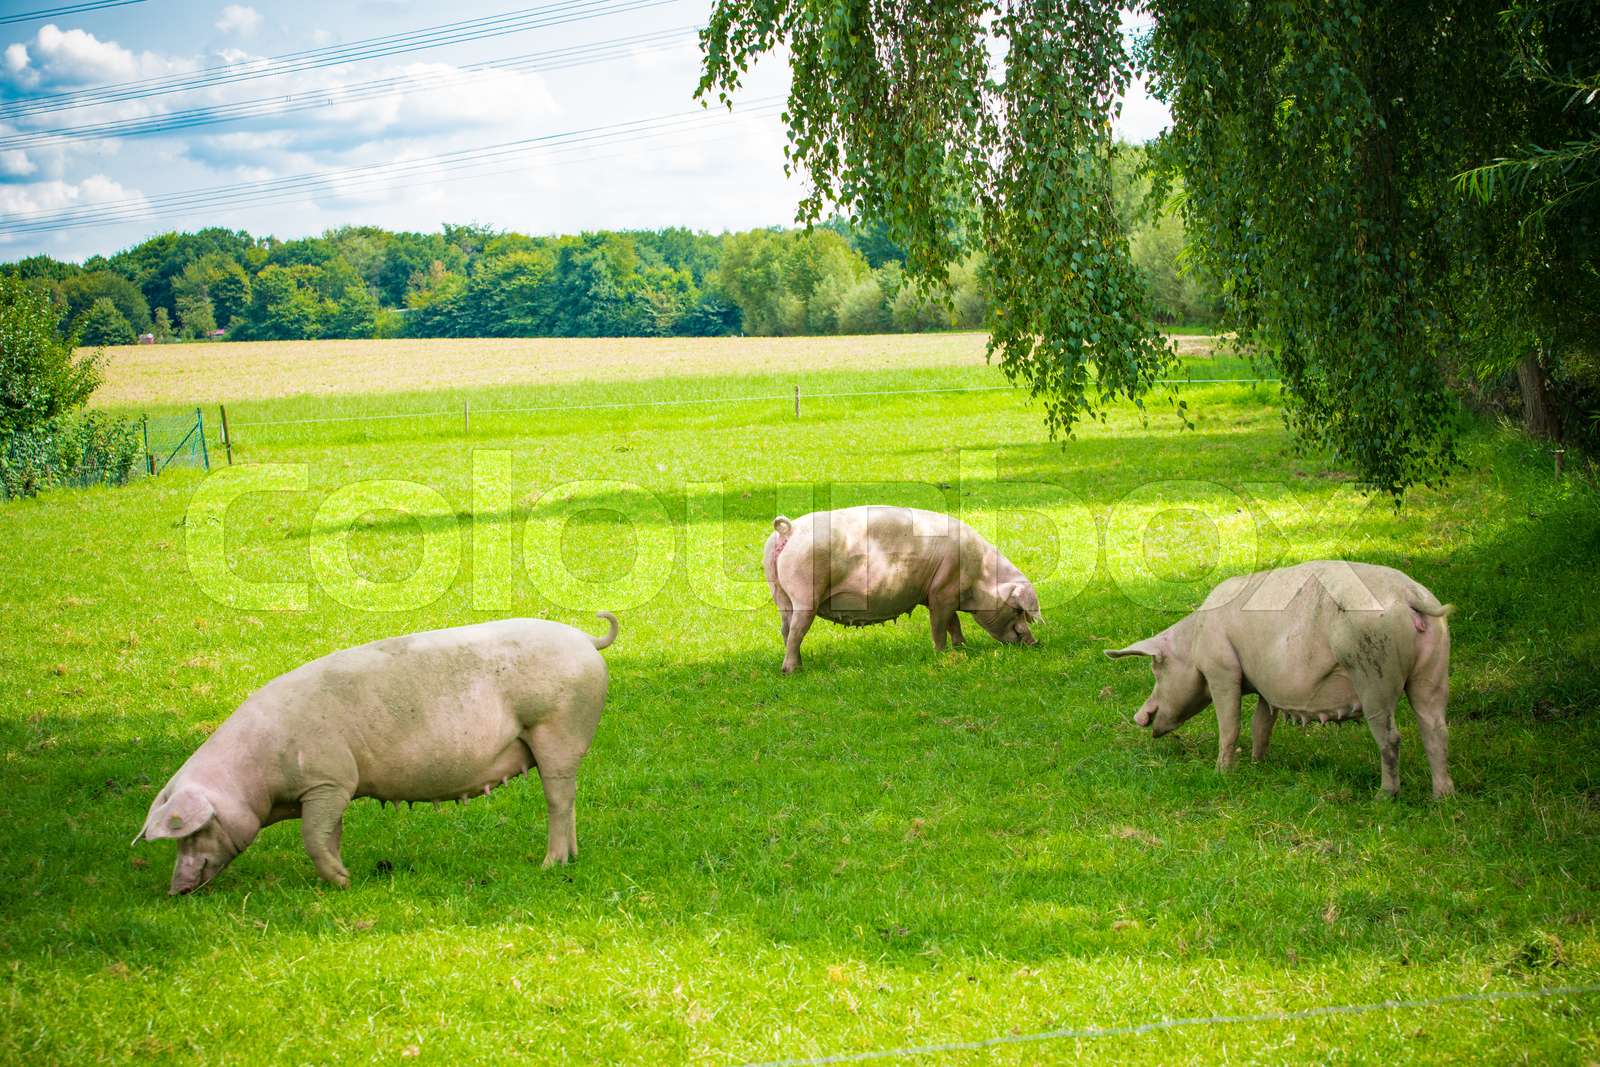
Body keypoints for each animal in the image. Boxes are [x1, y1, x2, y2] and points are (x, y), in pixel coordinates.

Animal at [135, 614, 618, 894]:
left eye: (193, 832)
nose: (175, 890)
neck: (258, 775)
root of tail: (586, 640)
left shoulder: (328, 779)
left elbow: (313, 836)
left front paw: (343, 882)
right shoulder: (331, 789)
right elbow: (331, 834)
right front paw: (344, 876)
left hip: (557, 728)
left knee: (558, 798)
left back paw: (550, 865)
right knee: (569, 798)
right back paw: (570, 858)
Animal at [762, 506, 1042, 673]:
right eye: (1017, 610)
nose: (1035, 643)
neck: (980, 574)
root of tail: (790, 530)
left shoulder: (942, 594)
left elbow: (954, 623)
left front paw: (962, 647)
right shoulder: (942, 593)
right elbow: (939, 625)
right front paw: (941, 654)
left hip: (780, 594)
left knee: (785, 628)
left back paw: (798, 665)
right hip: (805, 592)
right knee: (796, 630)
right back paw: (792, 671)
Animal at [1106, 561, 1454, 797]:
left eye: (1157, 669)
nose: (1138, 717)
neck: (1194, 639)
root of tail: (1409, 596)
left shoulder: (1221, 669)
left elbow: (1230, 726)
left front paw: (1221, 774)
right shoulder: (1265, 686)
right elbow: (1261, 725)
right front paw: (1258, 765)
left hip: (1373, 671)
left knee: (1392, 737)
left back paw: (1385, 796)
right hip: (1433, 669)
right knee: (1435, 729)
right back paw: (1442, 797)